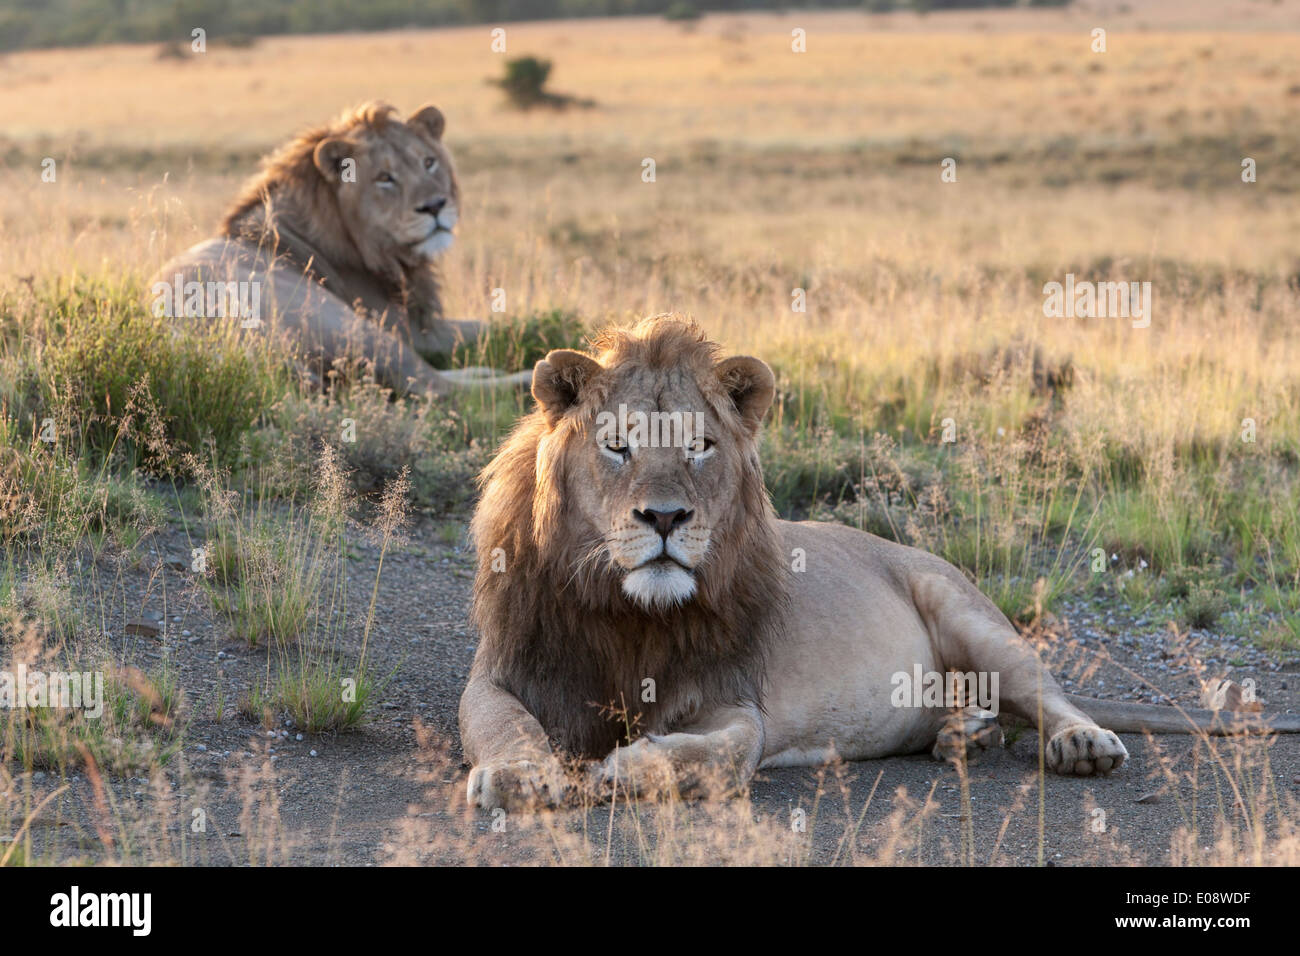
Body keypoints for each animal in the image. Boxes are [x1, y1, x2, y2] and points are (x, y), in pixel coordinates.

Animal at [149, 101, 528, 396]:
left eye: (428, 162)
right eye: (384, 178)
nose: (435, 206)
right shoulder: (412, 328)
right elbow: (491, 326)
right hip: (352, 324)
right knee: (437, 387)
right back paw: (521, 379)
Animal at [459, 314, 1300, 810]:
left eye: (700, 445)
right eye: (617, 444)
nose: (665, 518)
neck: (627, 610)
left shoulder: (736, 698)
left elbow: (721, 754)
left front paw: (628, 768)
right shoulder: (503, 669)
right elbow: (502, 725)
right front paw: (521, 775)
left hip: (966, 610)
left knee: (1049, 695)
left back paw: (1075, 743)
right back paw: (964, 734)